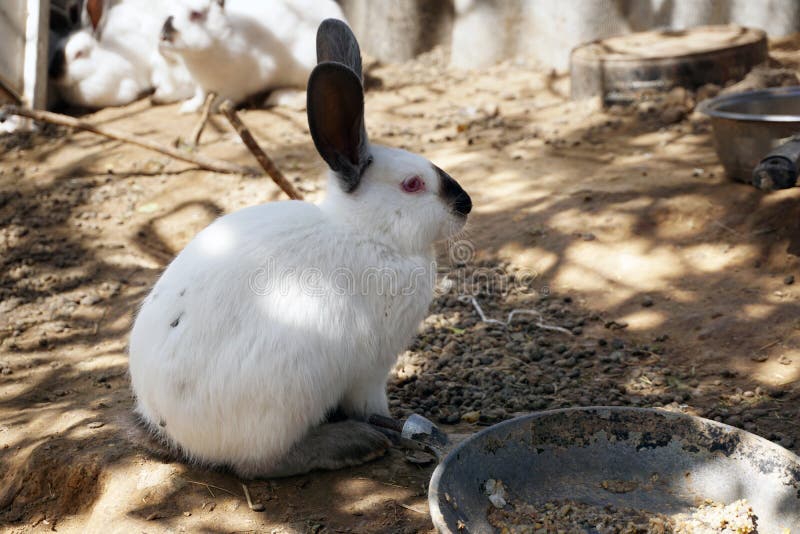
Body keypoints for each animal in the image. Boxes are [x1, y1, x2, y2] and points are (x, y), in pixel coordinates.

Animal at [128, 19, 472, 478]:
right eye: (413, 185)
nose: (465, 204)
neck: (368, 233)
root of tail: (175, 429)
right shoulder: (372, 370)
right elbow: (372, 405)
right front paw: (390, 425)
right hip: (289, 392)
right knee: (262, 463)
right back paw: (352, 443)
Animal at [160, 0, 347, 113]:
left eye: (196, 14)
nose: (163, 36)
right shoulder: (201, 84)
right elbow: (200, 96)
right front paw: (188, 108)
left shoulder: (237, 87)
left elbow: (225, 98)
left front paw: (214, 108)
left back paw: (278, 97)